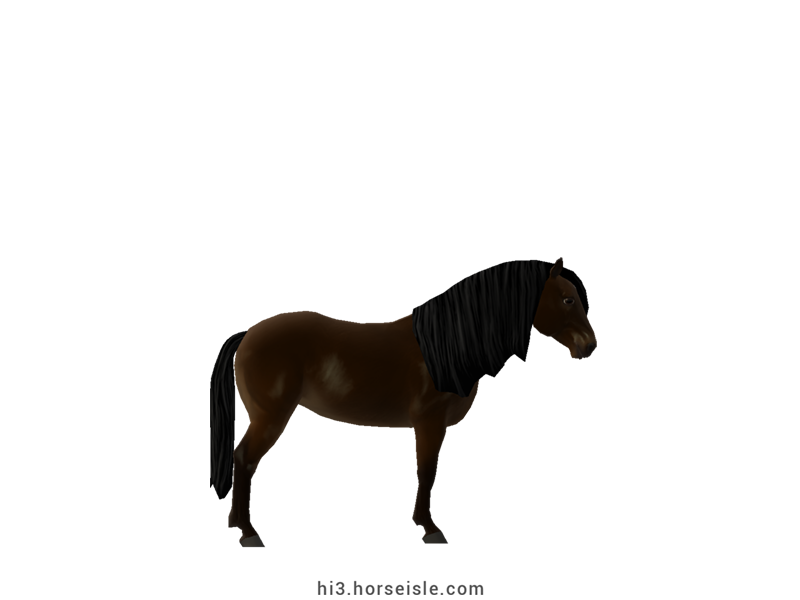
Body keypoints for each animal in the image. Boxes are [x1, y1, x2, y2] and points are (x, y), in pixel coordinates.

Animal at [211, 259, 596, 539]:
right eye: (568, 298)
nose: (589, 345)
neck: (442, 347)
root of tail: (248, 336)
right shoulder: (429, 420)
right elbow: (427, 470)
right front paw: (427, 526)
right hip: (269, 417)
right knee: (244, 459)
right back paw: (246, 530)